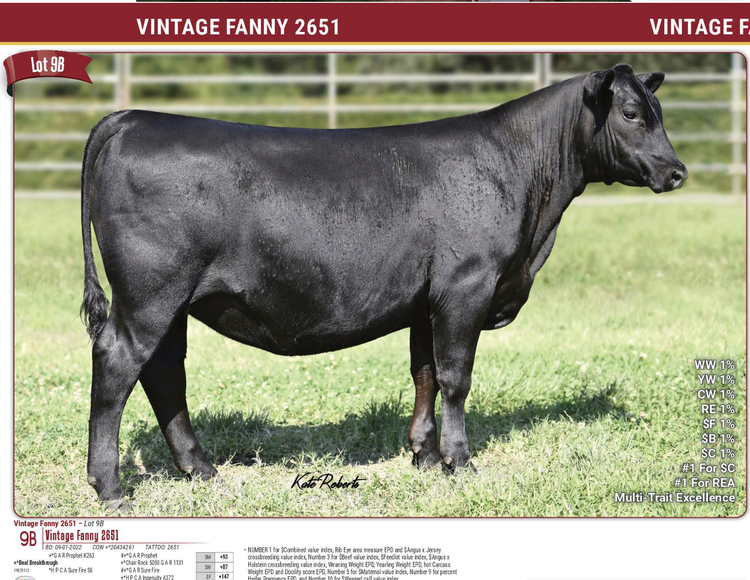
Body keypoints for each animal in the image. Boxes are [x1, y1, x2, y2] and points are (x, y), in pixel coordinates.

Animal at [80, 64, 686, 509]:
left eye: (658, 112)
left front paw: (424, 456)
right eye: (631, 113)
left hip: (171, 301)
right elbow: (456, 378)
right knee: (118, 364)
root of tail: (134, 118)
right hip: (150, 294)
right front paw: (460, 461)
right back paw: (110, 488)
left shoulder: (427, 300)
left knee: (164, 373)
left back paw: (200, 470)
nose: (677, 172)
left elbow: (425, 374)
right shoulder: (467, 286)